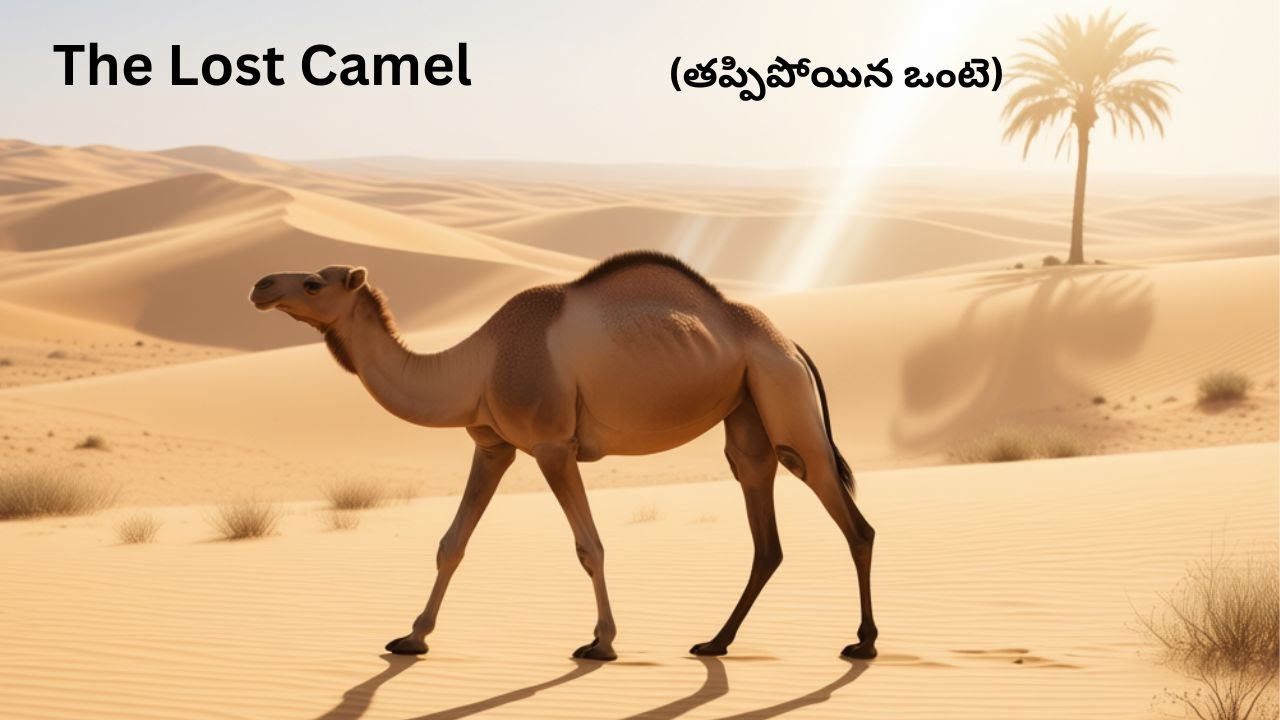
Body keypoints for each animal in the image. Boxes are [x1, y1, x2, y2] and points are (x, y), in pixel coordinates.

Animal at [249, 251, 877, 661]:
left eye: (313, 283)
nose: (260, 285)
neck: (478, 363)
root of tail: (791, 343)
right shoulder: (493, 445)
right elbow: (452, 544)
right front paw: (412, 638)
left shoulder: (553, 446)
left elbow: (589, 546)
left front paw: (602, 643)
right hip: (746, 412)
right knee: (763, 527)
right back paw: (715, 642)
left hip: (783, 394)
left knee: (850, 518)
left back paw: (863, 644)